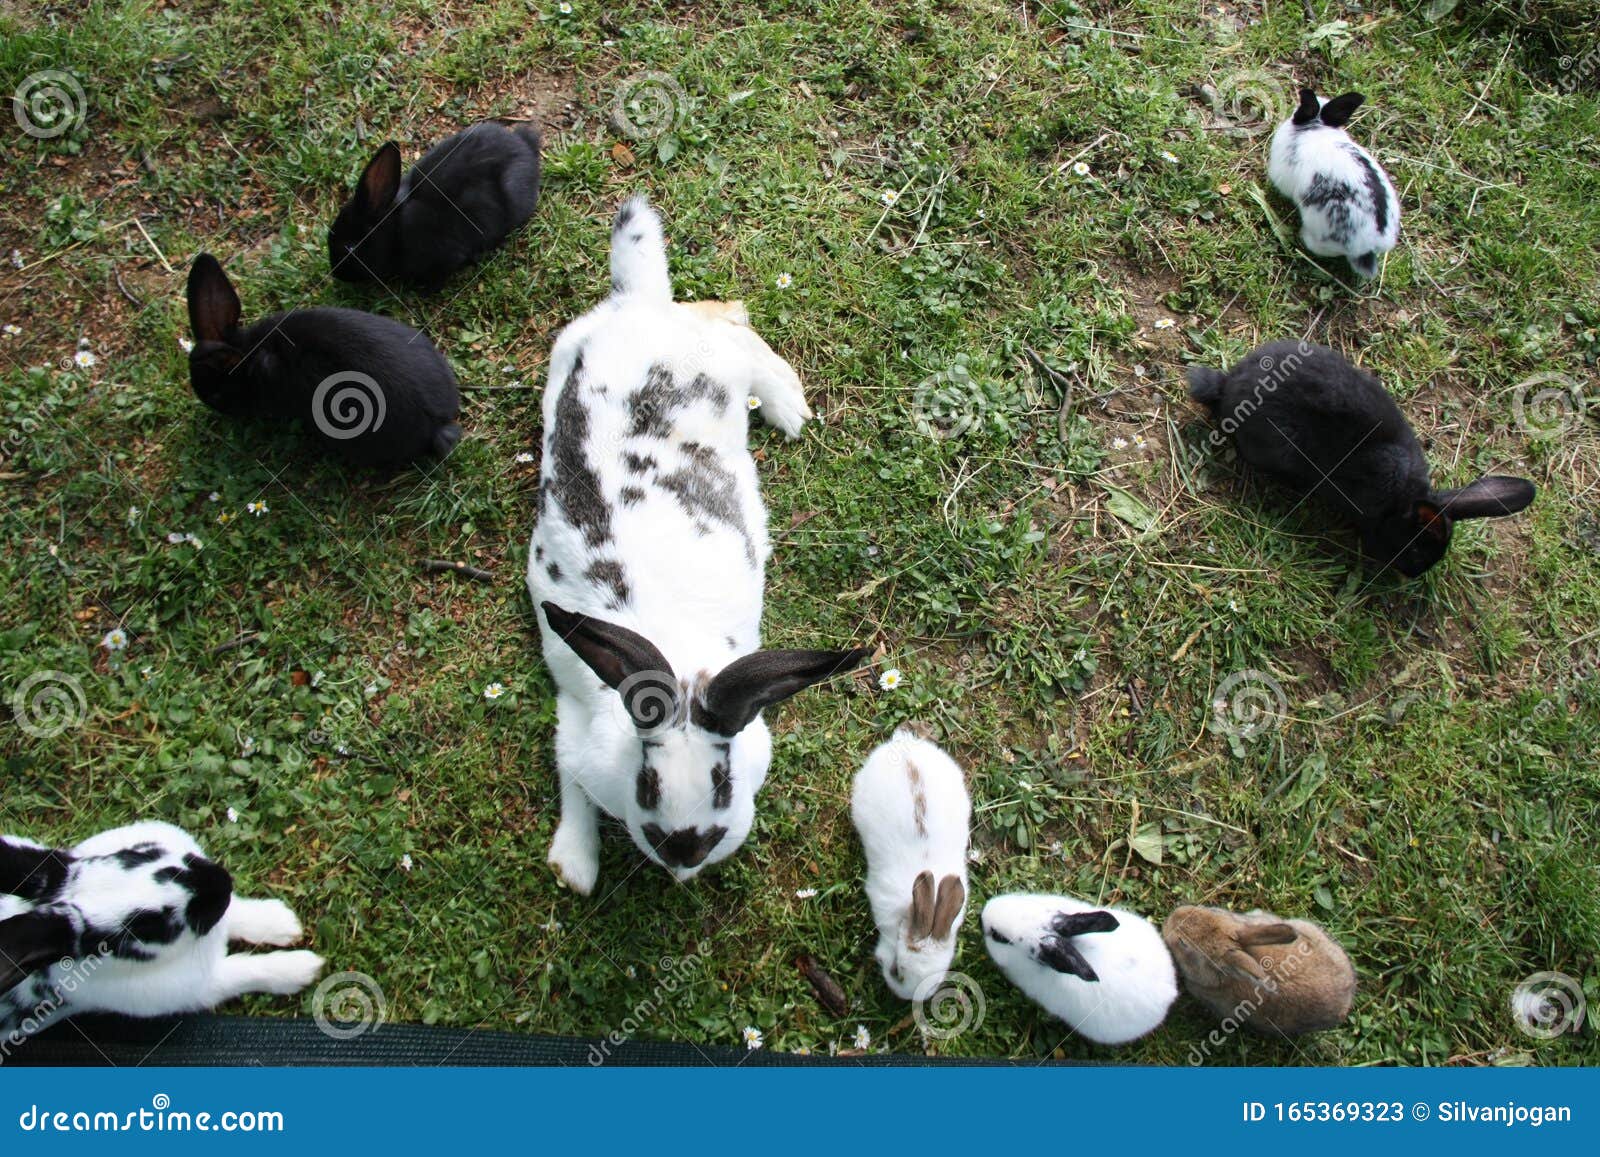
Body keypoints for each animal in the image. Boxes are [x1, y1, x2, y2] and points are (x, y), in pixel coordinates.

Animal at [1, 821, 324, 1038]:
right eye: (149, 927)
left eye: (138, 854)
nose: (222, 881)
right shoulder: (199, 989)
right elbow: (245, 972)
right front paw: (303, 968)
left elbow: (238, 914)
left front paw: (282, 922)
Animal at [528, 195, 869, 896]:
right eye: (647, 785)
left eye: (722, 781)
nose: (686, 852)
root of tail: (639, 302)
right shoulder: (574, 724)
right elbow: (572, 785)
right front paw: (574, 866)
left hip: (717, 356)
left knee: (731, 316)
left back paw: (789, 408)